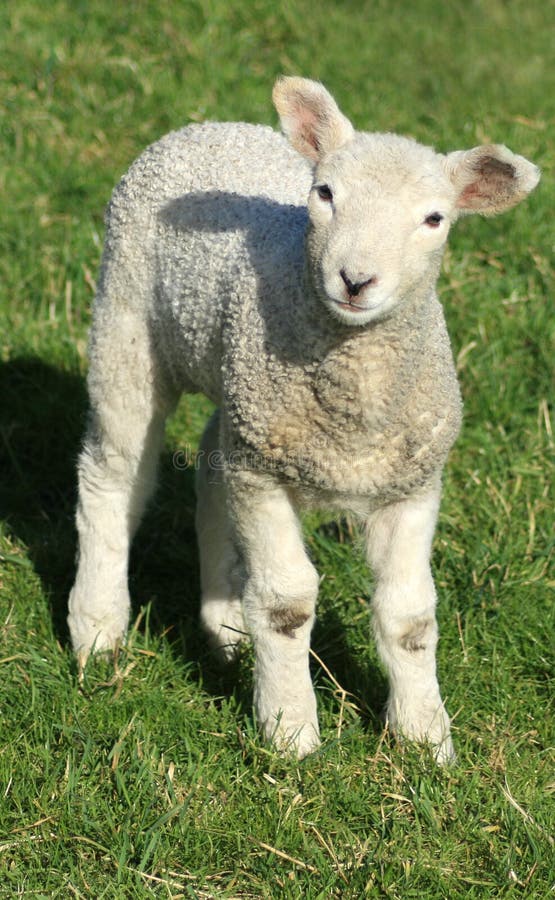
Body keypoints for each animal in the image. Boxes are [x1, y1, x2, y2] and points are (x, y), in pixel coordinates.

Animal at [68, 77, 540, 763]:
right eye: (325, 194)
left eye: (435, 219)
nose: (355, 280)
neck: (353, 402)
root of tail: (208, 125)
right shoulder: (265, 476)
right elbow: (287, 604)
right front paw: (290, 730)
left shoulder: (411, 483)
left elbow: (410, 616)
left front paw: (425, 737)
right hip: (126, 322)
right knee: (113, 474)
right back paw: (98, 628)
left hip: (239, 396)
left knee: (211, 469)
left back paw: (226, 624)